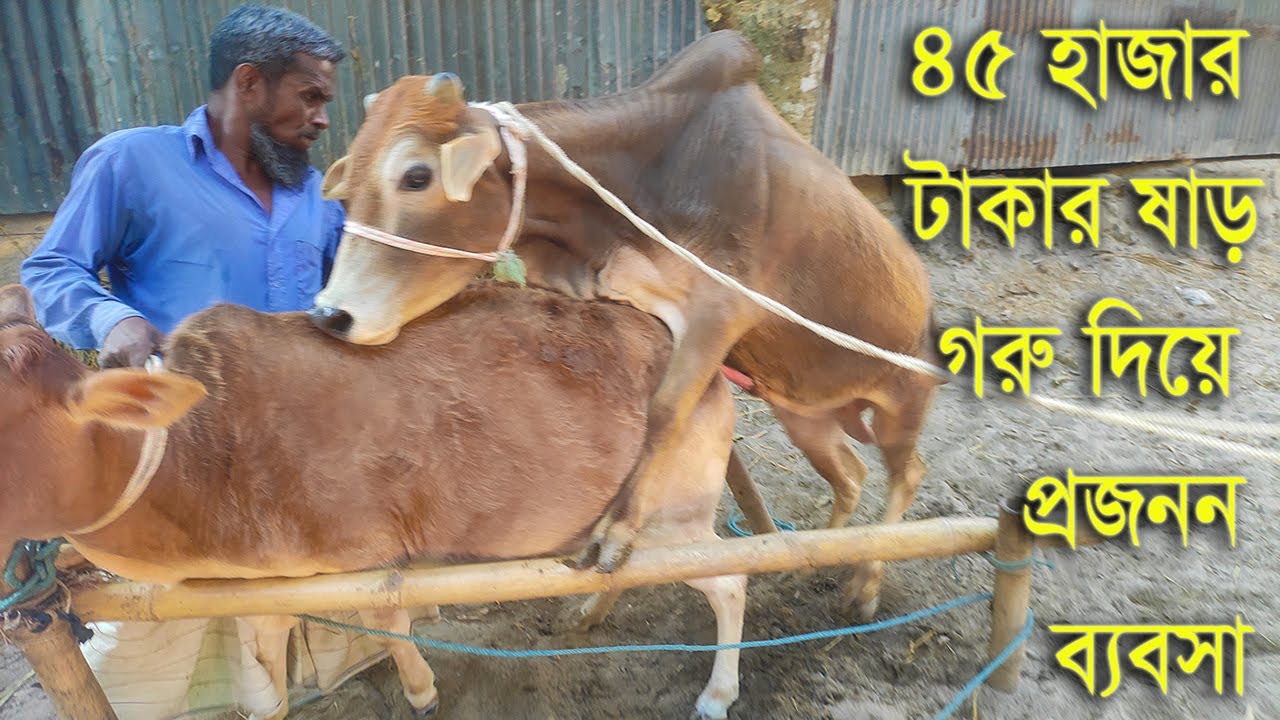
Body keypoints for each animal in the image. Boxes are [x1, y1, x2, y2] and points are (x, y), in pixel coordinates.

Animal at [0, 282, 746, 720]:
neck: (208, 454)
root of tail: (676, 346)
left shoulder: (364, 555)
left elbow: (386, 613)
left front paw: (420, 690)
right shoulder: (267, 581)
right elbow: (263, 652)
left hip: (679, 517)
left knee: (730, 582)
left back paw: (716, 694)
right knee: (624, 567)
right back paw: (584, 613)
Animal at [309, 29, 943, 618]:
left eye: (416, 176)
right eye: (350, 179)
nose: (330, 313)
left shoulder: (719, 312)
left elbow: (662, 415)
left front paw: (613, 535)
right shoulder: (623, 303)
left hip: (903, 399)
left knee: (908, 472)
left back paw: (864, 582)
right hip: (803, 411)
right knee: (849, 473)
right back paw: (812, 561)